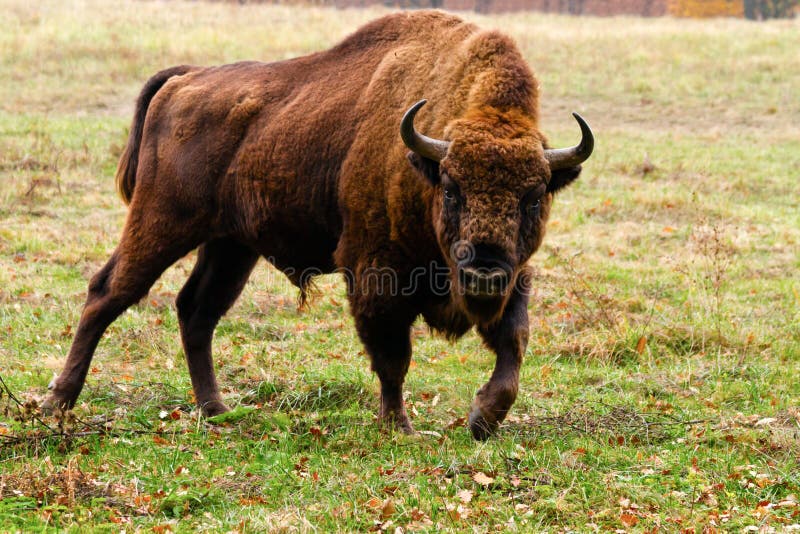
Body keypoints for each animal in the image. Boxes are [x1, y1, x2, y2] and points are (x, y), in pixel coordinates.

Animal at [43, 10, 592, 442]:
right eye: (452, 187)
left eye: (535, 195)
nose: (483, 274)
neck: (424, 159)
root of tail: (185, 79)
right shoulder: (375, 273)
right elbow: (393, 356)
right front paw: (400, 427)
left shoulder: (515, 277)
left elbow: (513, 344)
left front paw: (482, 419)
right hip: (161, 223)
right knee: (108, 292)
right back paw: (57, 403)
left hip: (230, 246)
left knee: (196, 311)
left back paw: (217, 411)